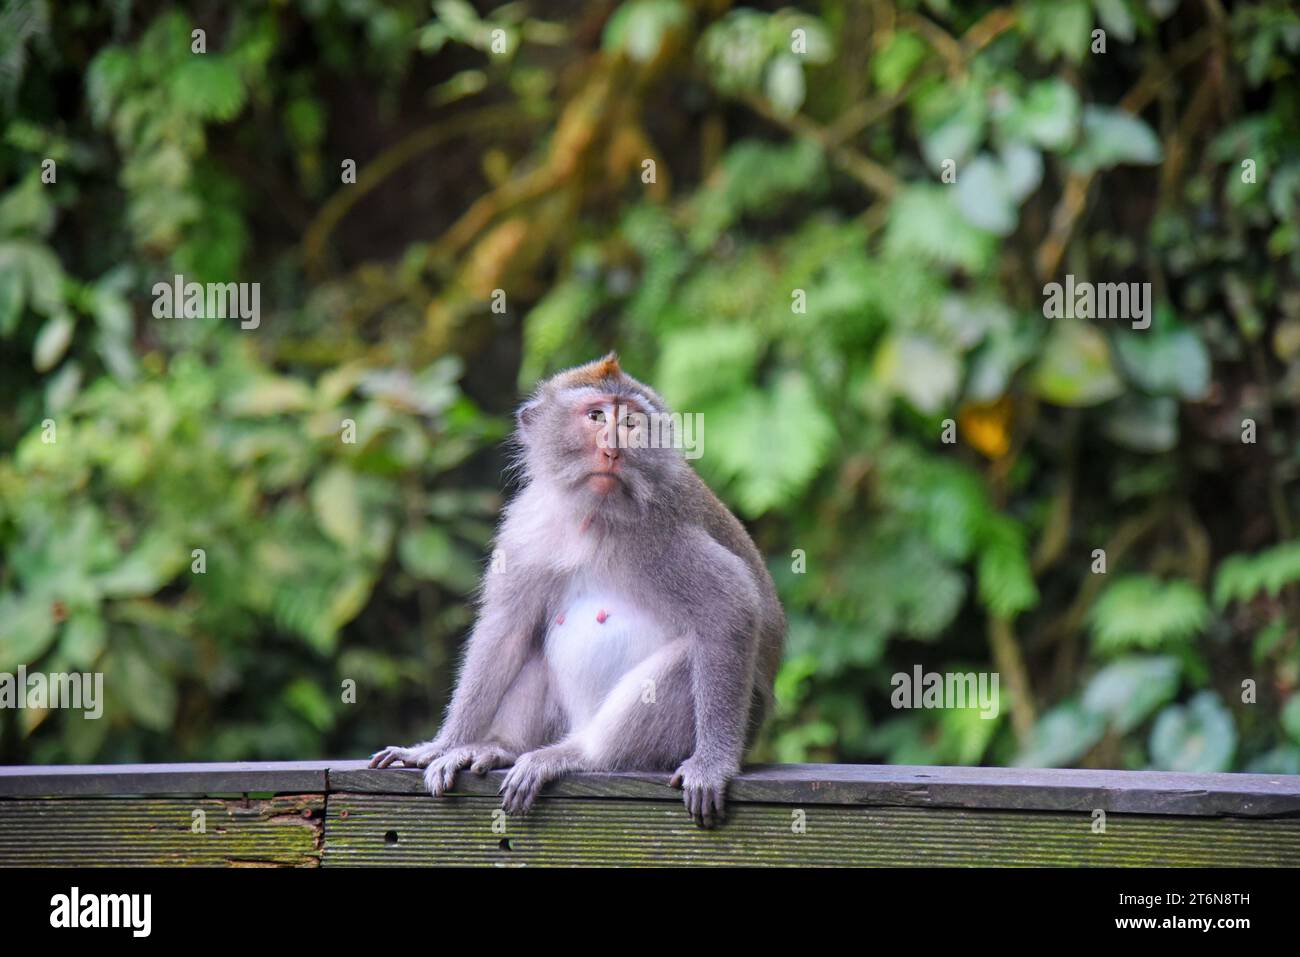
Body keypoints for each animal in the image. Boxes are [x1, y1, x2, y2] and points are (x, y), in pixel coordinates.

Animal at [369, 353, 785, 827]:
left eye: (631, 422)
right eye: (596, 416)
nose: (612, 448)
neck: (592, 517)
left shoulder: (663, 534)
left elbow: (731, 607)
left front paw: (712, 765)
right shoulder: (525, 528)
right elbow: (506, 633)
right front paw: (441, 746)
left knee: (685, 660)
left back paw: (577, 756)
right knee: (532, 648)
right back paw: (499, 748)